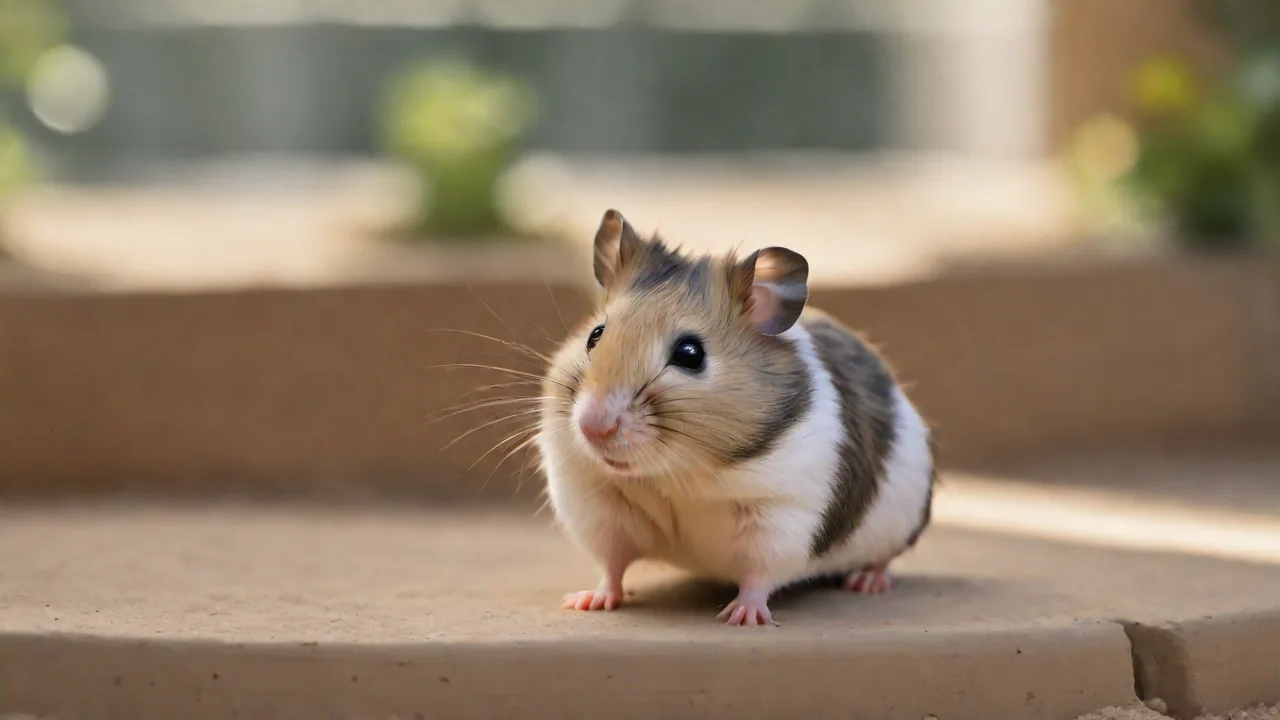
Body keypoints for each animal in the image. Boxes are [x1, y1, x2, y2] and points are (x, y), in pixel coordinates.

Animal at [535, 209, 935, 627]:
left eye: (690, 354)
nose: (593, 428)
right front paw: (586, 602)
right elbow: (612, 564)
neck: (674, 475)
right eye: (595, 335)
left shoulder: (782, 515)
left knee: (882, 559)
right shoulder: (597, 504)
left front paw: (742, 617)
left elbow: (759, 575)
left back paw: (868, 582)